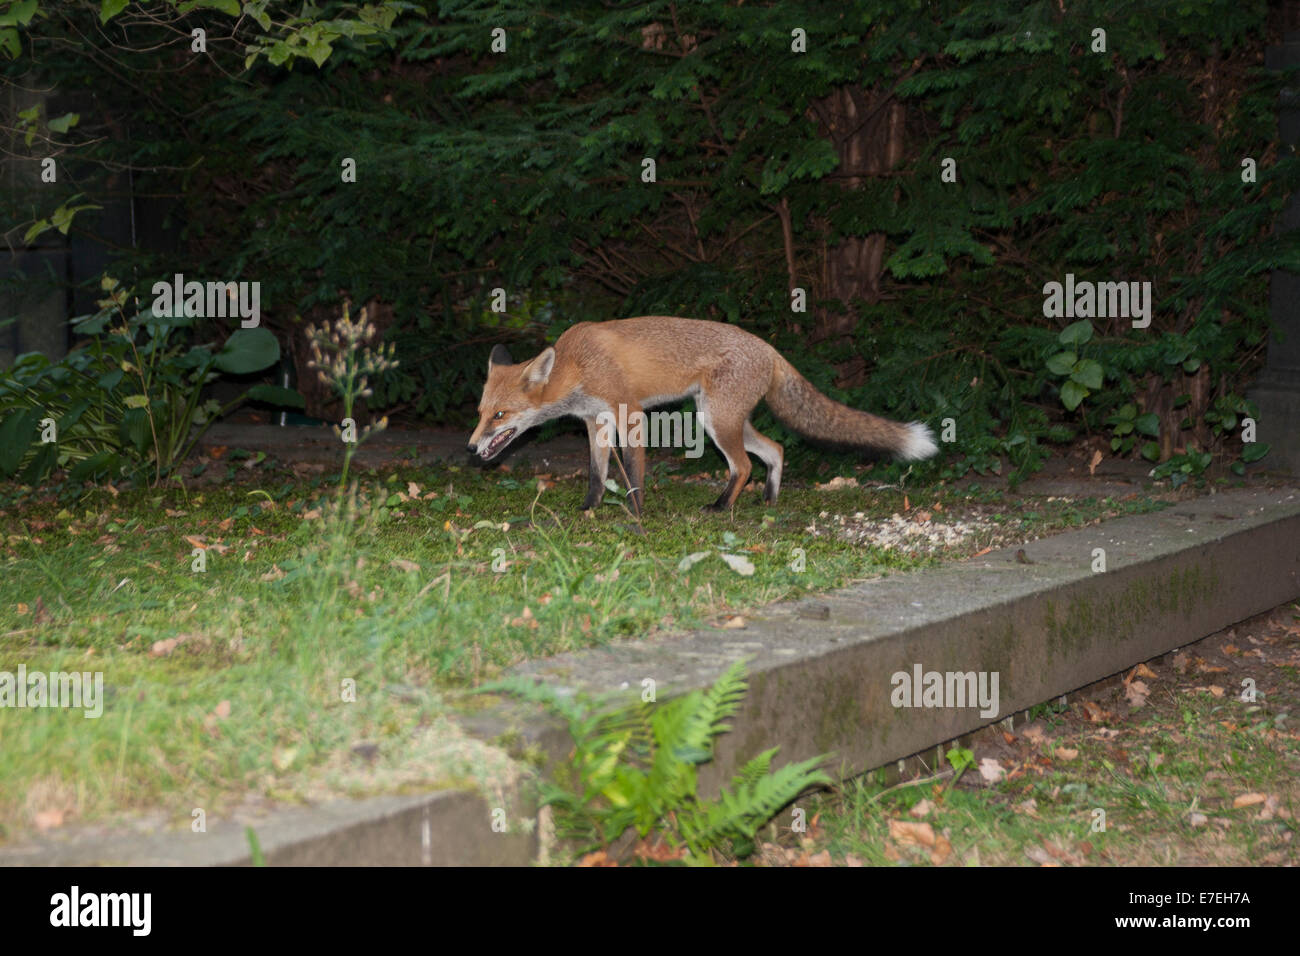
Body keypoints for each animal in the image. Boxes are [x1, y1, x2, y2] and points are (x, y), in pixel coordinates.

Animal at [467, 316, 938, 515]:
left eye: (501, 415)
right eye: (480, 412)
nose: (470, 449)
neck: (577, 365)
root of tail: (769, 348)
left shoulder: (629, 413)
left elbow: (634, 474)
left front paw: (637, 515)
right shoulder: (595, 422)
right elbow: (597, 475)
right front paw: (588, 510)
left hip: (715, 420)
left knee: (744, 465)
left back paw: (720, 506)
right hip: (727, 419)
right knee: (776, 449)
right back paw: (769, 501)